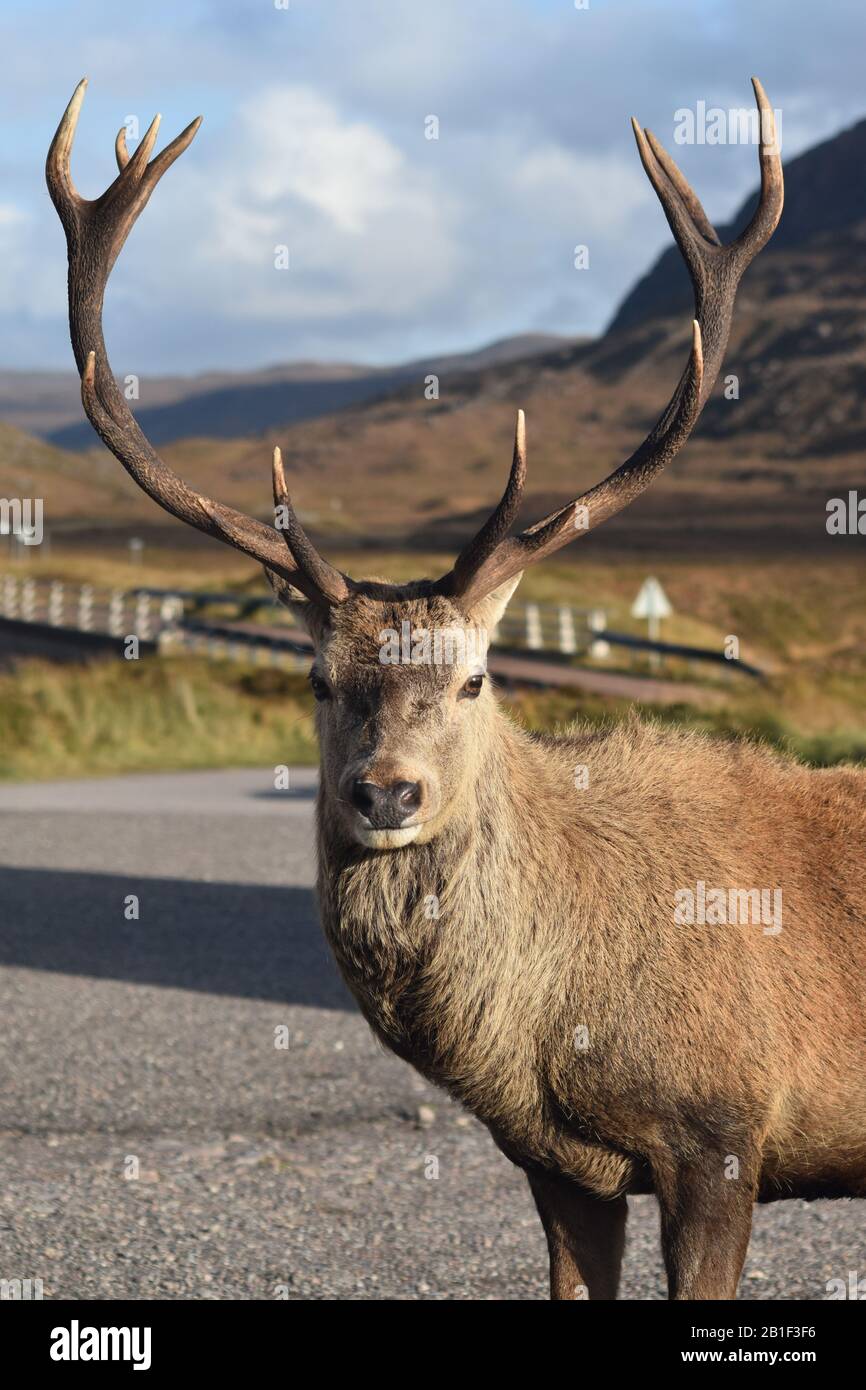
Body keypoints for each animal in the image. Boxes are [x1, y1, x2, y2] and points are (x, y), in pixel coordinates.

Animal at [47, 77, 866, 1302]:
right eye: (316, 675)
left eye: (478, 676)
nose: (386, 794)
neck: (543, 1039)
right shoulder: (562, 1168)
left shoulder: (724, 1130)